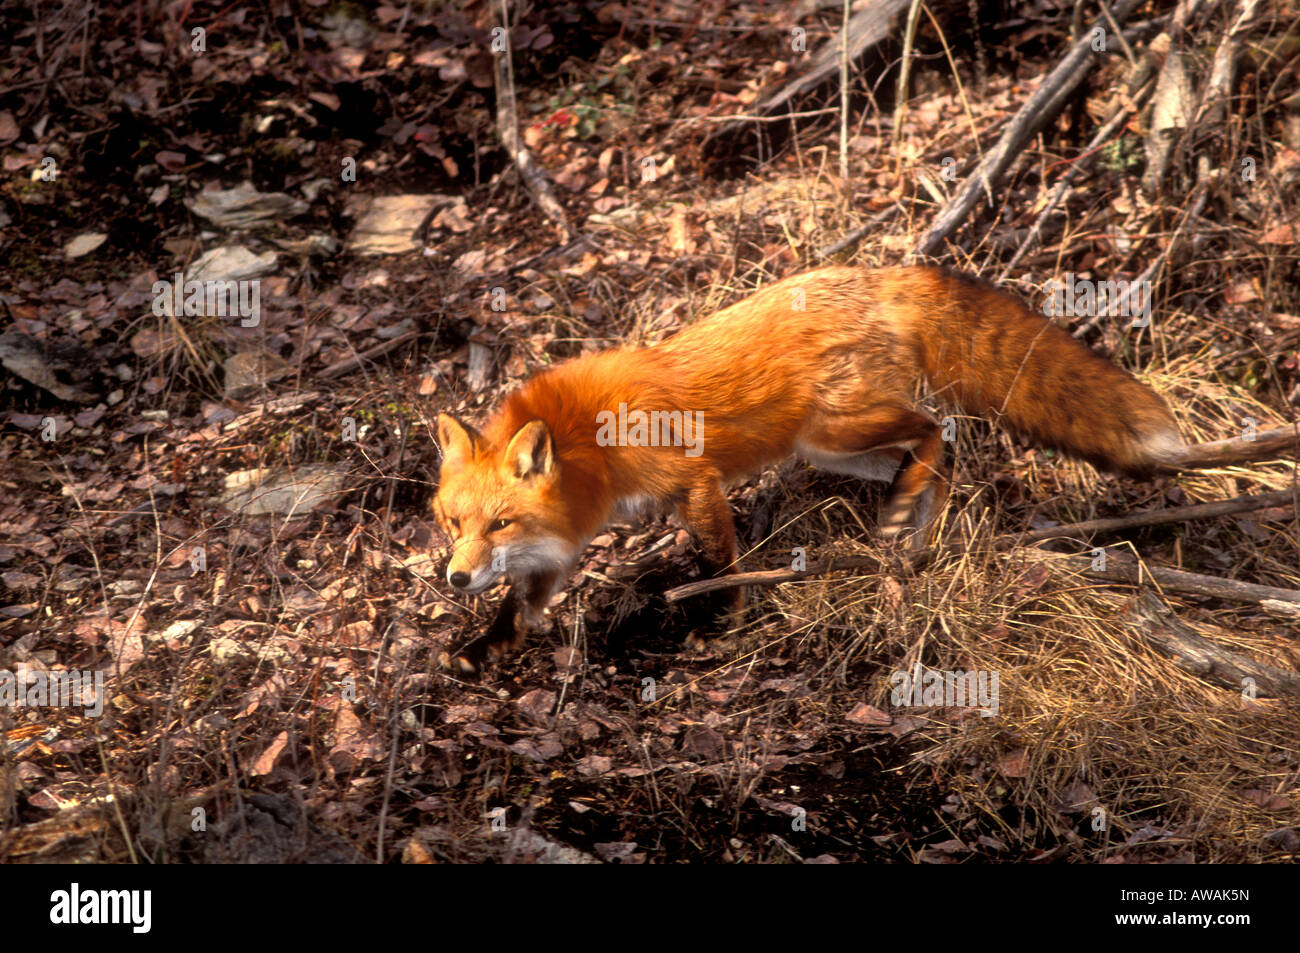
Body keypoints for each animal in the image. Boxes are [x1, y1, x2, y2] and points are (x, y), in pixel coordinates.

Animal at [432, 265, 1184, 674]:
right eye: (454, 524)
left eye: (500, 523)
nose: (455, 578)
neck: (593, 445)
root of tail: (880, 273)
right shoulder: (564, 539)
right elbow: (521, 602)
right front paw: (482, 647)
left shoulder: (694, 484)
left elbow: (722, 565)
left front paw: (725, 623)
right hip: (832, 448)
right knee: (938, 459)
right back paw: (916, 534)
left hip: (838, 427)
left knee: (934, 428)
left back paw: (907, 517)